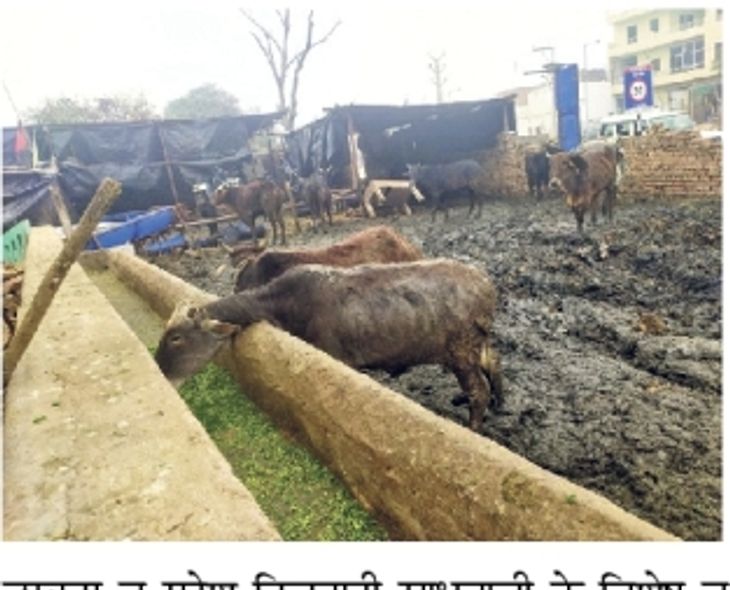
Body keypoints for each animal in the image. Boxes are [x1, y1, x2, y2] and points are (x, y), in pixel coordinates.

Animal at [155, 259, 503, 433]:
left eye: (176, 337)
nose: (161, 372)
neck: (283, 304)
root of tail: (486, 285)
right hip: (477, 345)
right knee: (495, 363)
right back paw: (499, 404)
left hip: (461, 352)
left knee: (479, 391)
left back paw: (473, 425)